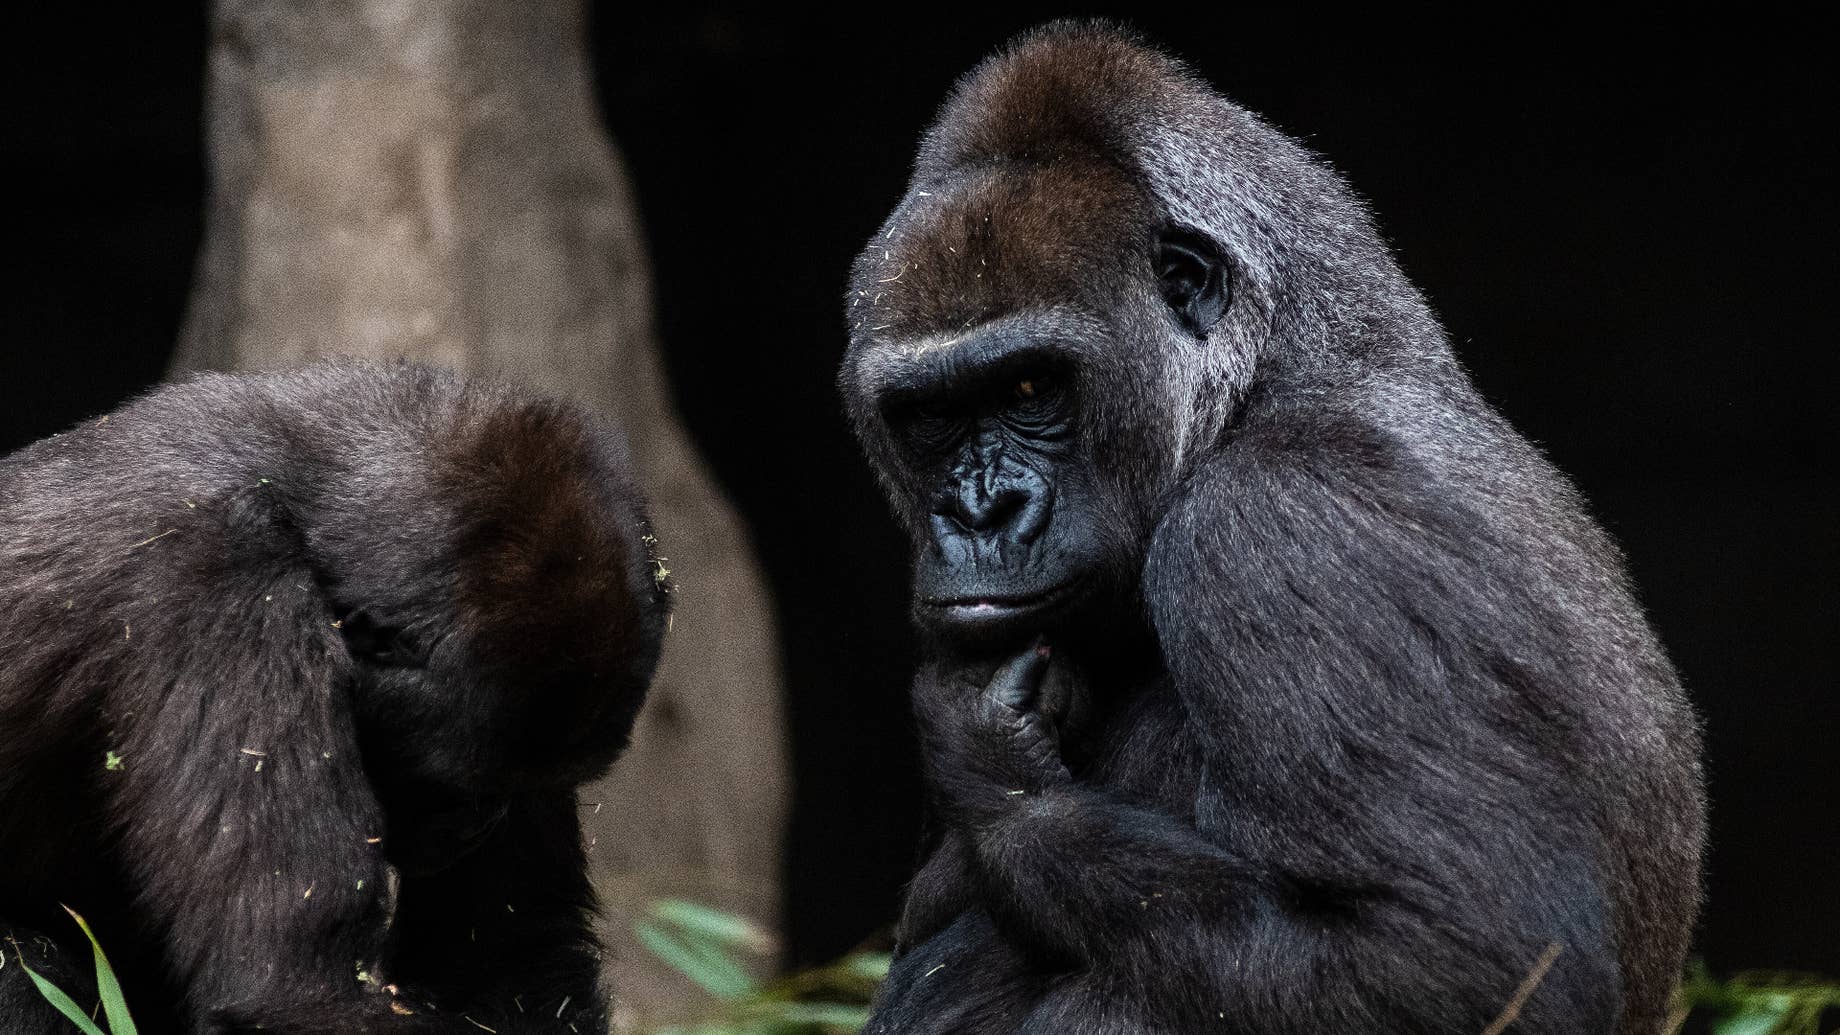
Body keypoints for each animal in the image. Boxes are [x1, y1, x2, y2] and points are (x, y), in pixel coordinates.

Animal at [0, 363, 668, 1033]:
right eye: (464, 789)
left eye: (516, 792)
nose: (477, 830)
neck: (297, 504)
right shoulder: (218, 585)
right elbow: (290, 990)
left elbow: (517, 960)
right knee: (26, 969)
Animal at [839, 21, 1704, 1035]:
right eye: (930, 414)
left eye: (1029, 386)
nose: (981, 513)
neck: (1277, 375)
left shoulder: (1281, 521)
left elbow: (1463, 963)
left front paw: (998, 777)